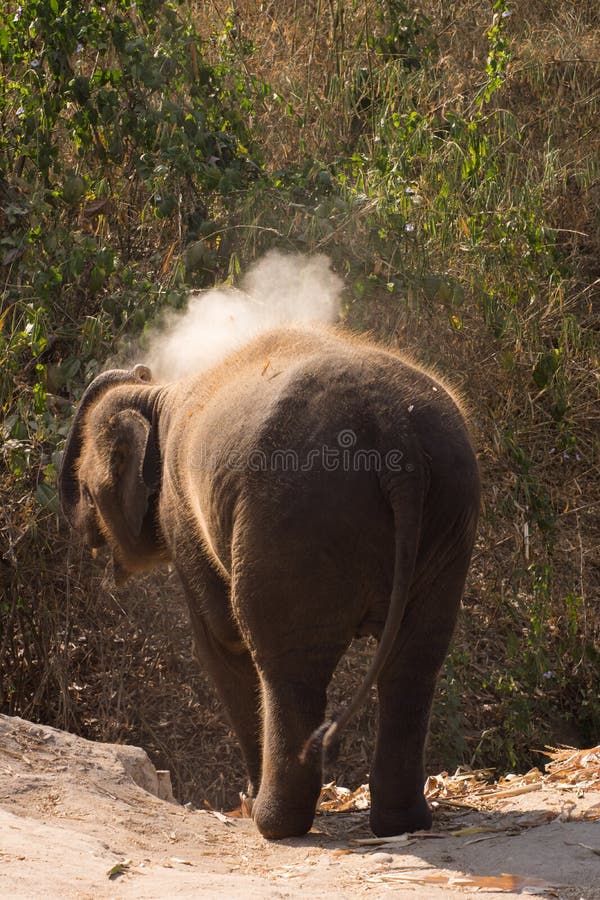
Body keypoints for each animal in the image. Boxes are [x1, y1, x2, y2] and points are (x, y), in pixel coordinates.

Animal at [58, 325, 480, 840]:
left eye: (84, 486)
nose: (85, 535)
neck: (160, 395)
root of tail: (391, 429)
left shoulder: (181, 513)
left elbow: (220, 640)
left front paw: (246, 803)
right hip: (449, 515)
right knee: (415, 658)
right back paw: (401, 823)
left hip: (293, 520)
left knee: (286, 662)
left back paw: (273, 824)